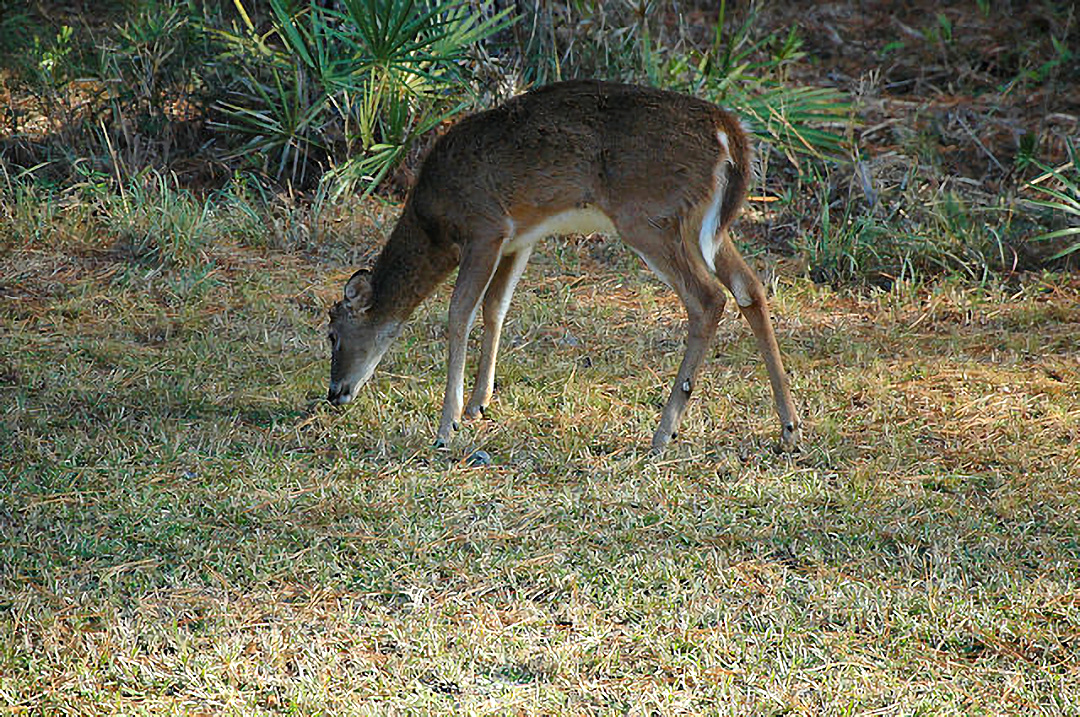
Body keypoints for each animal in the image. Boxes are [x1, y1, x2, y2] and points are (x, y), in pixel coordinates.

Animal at [327, 80, 801, 453]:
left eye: (331, 335)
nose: (334, 394)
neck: (434, 224)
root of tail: (728, 132)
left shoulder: (484, 227)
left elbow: (459, 312)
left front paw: (448, 426)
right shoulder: (519, 237)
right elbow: (495, 308)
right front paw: (480, 403)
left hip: (649, 215)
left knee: (708, 298)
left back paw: (663, 434)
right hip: (705, 226)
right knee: (750, 287)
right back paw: (789, 428)